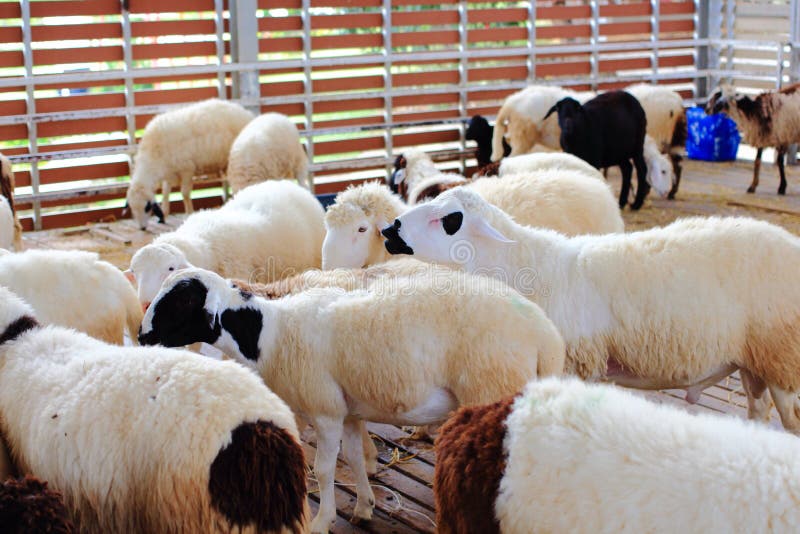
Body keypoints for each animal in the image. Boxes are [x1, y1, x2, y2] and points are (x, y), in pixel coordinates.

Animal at [125, 99, 254, 230]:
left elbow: (185, 193)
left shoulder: (187, 169)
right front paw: (164, 215)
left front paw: (189, 213)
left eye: (147, 207)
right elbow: (165, 193)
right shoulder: (169, 173)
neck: (153, 155)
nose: (142, 228)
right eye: (132, 209)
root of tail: (245, 112)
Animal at [138, 266, 566, 533]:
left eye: (181, 301)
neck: (270, 333)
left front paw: (321, 521)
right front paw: (363, 507)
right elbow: (355, 458)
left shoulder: (325, 409)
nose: (142, 337)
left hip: (491, 388)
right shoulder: (347, 411)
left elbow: (325, 469)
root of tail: (546, 335)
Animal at [383, 187, 800, 432]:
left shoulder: (574, 364)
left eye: (448, 220)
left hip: (783, 356)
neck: (526, 265)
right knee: (759, 409)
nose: (389, 230)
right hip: (755, 358)